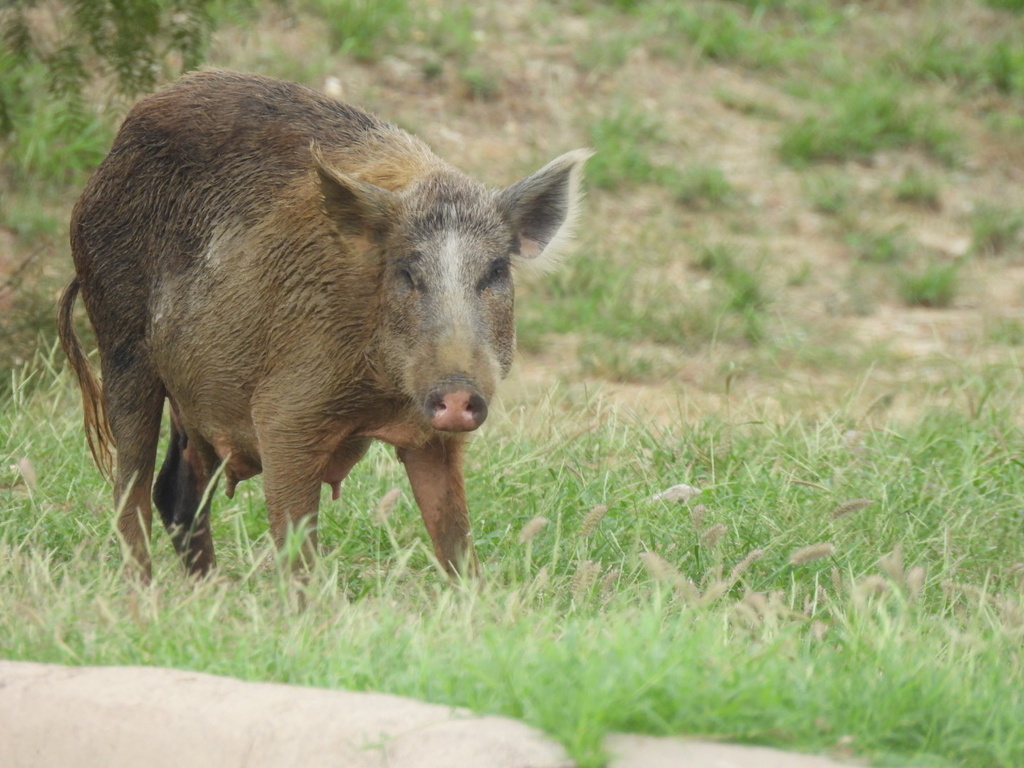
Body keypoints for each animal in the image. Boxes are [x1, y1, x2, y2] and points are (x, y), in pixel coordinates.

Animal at [57, 69, 591, 580]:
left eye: (495, 271)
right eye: (406, 272)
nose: (458, 393)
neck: (382, 397)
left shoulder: (433, 438)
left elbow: (456, 543)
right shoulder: (283, 413)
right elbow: (296, 546)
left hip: (193, 394)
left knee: (177, 490)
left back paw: (208, 592)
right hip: (121, 339)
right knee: (131, 489)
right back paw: (145, 593)